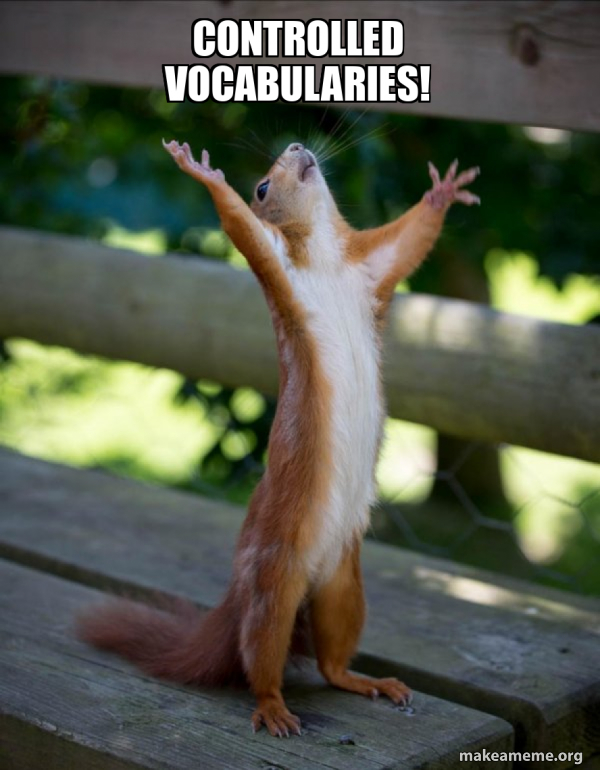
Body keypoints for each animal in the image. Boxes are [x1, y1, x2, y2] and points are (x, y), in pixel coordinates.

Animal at [77, 138, 479, 738]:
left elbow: (409, 240)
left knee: (332, 661)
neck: (326, 257)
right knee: (260, 658)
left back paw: (368, 681)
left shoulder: (372, 267)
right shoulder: (277, 266)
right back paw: (273, 708)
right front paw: (204, 174)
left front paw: (443, 192)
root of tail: (239, 595)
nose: (296, 147)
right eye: (262, 187)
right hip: (273, 584)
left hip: (344, 586)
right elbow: (240, 226)